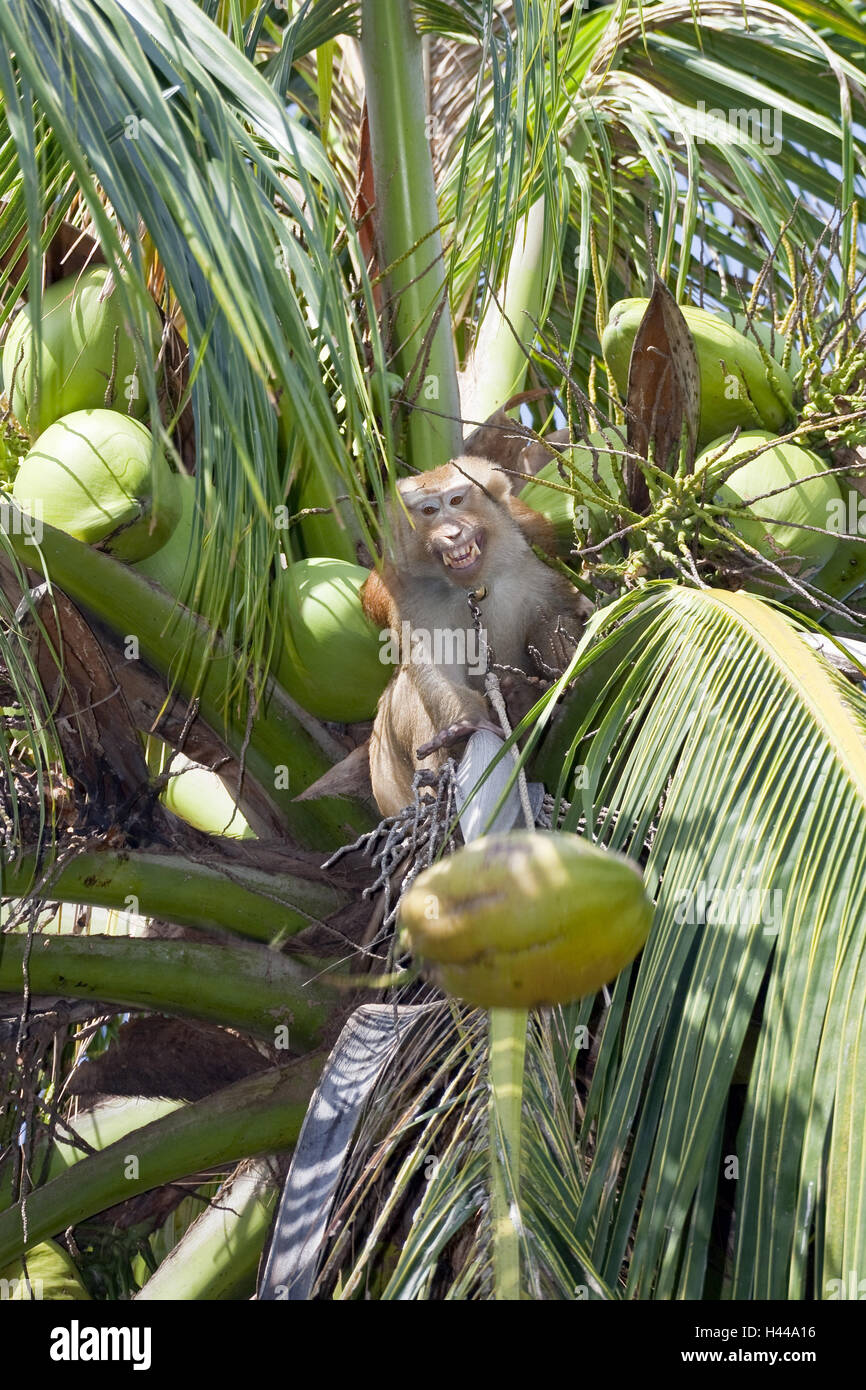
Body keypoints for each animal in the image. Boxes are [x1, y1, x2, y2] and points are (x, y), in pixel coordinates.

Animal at [361, 455, 589, 816]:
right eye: (429, 510)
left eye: (456, 500)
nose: (452, 533)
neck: (474, 588)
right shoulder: (408, 591)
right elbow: (432, 660)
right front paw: (465, 725)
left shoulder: (531, 542)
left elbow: (554, 615)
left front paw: (562, 680)